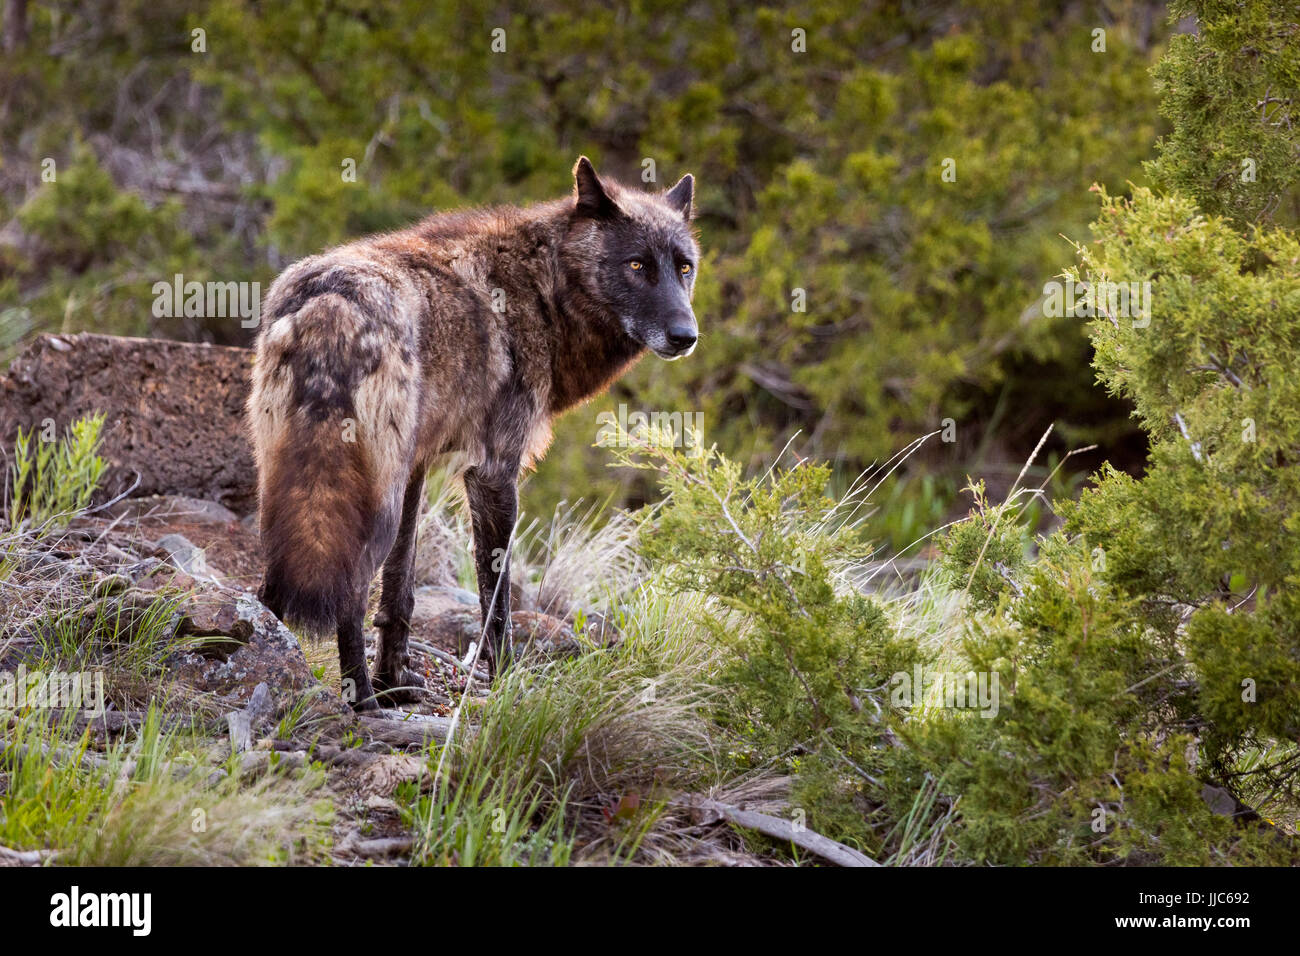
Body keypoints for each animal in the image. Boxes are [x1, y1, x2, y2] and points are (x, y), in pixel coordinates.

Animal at [247, 157, 699, 711]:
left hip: (291, 487)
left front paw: (396, 679)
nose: (686, 336)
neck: (543, 290)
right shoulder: (493, 473)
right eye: (637, 266)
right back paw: (361, 702)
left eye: (684, 267)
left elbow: (400, 588)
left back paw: (272, 657)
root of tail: (332, 302)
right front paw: (505, 683)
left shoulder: (417, 468)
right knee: (348, 593)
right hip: (371, 500)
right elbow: (495, 601)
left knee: (273, 583)